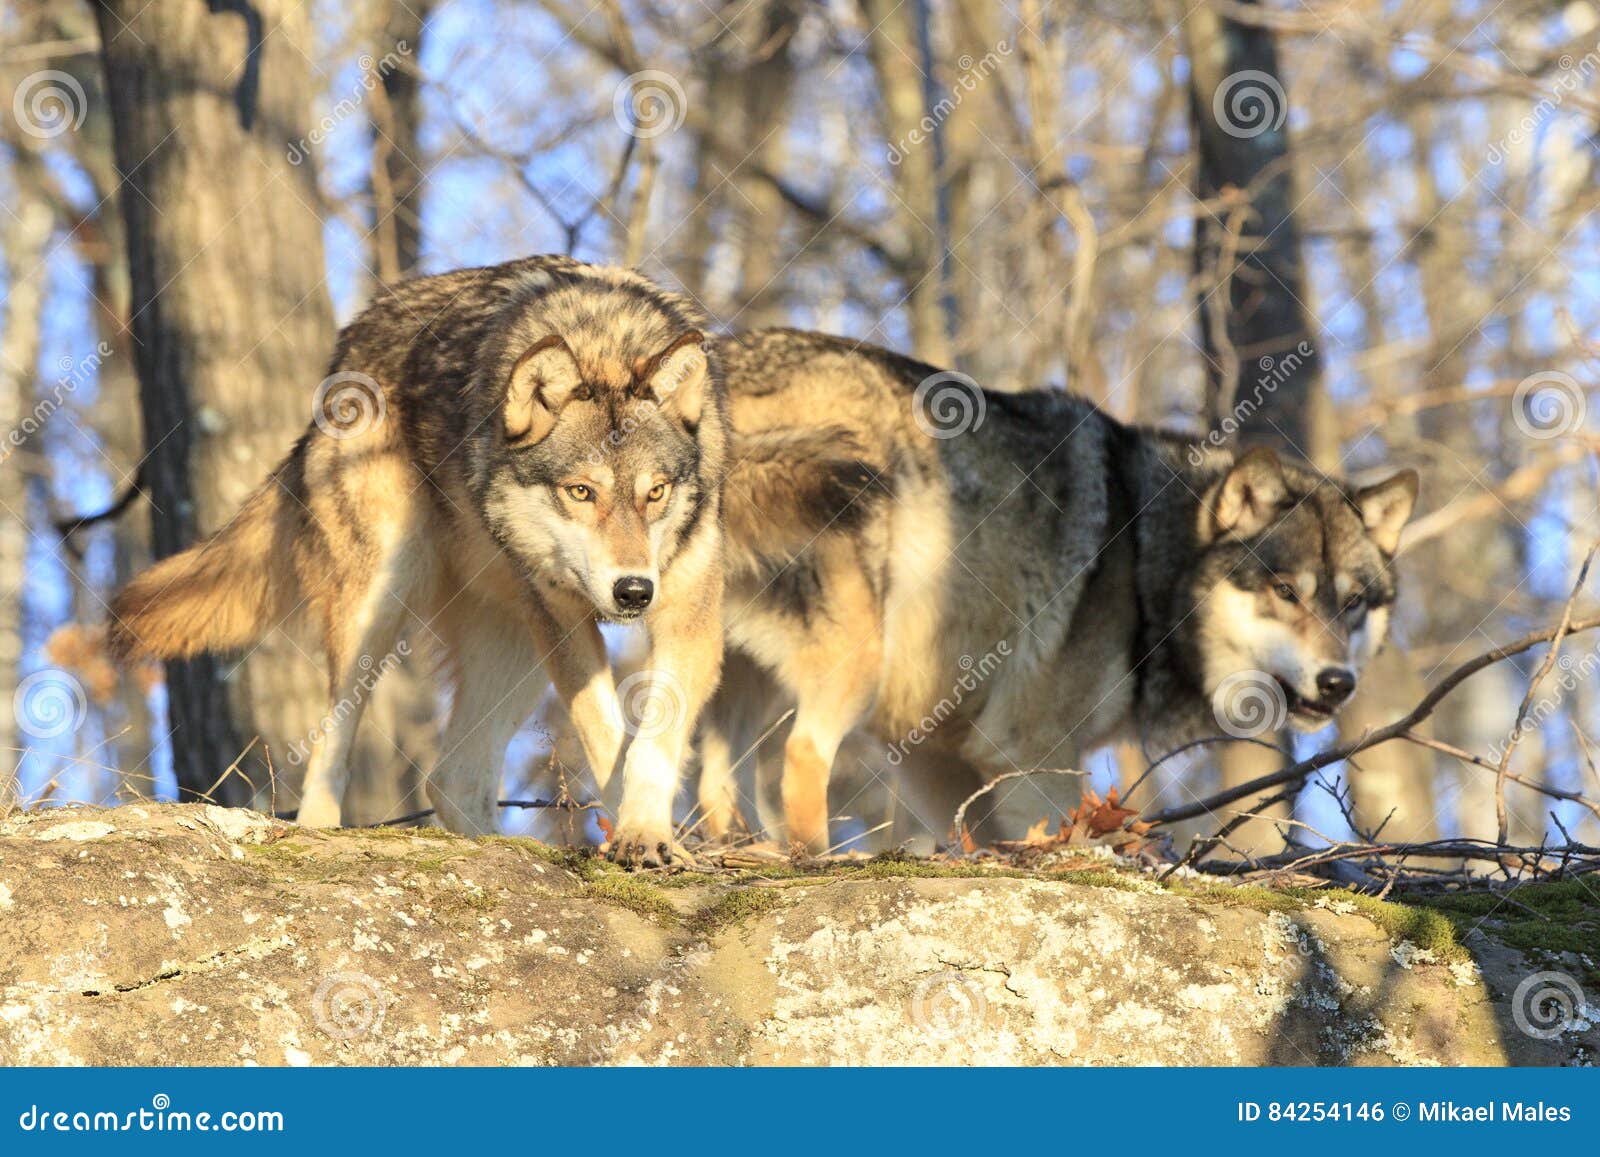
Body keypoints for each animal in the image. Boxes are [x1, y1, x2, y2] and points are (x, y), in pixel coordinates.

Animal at [109, 256, 725, 866]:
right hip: (383, 603)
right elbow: (607, 736)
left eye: (656, 492)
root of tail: (348, 347)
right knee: (333, 749)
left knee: (449, 779)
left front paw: (645, 833)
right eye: (580, 492)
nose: (634, 592)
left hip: (518, 647)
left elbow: (651, 742)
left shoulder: (689, 614)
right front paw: (635, 835)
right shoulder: (565, 620)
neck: (604, 340)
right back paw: (319, 834)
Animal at [701, 329, 1418, 852]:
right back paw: (809, 861)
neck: (1147, 559)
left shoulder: (939, 753)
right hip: (853, 663)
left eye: (1353, 603)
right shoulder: (1031, 749)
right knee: (800, 757)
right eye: (1285, 591)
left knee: (711, 774)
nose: (1337, 683)